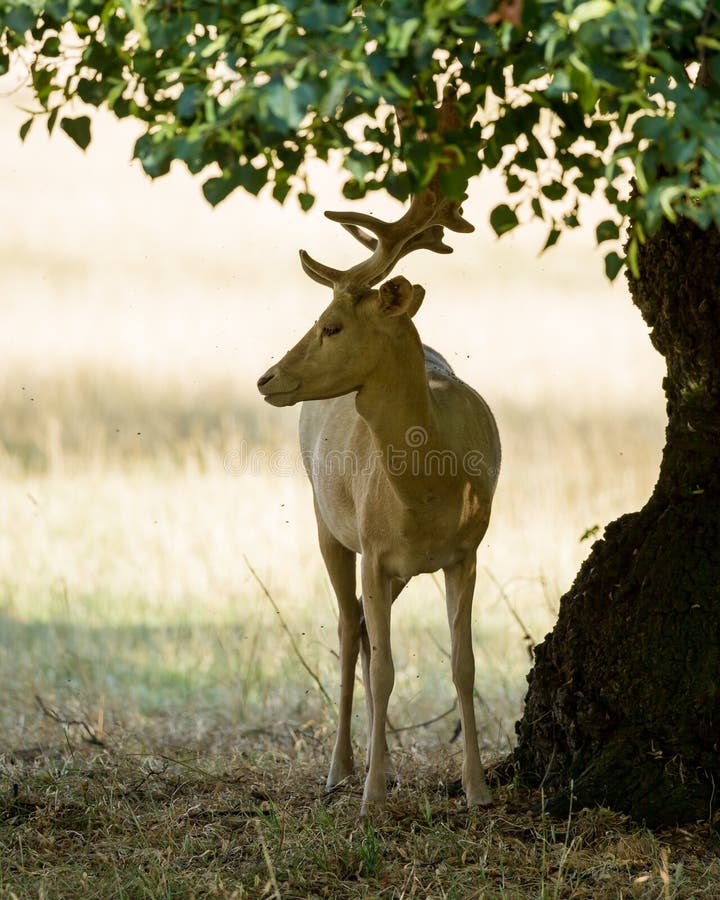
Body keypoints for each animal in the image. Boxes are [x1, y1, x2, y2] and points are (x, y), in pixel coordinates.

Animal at [257, 184, 501, 815]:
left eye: (332, 325)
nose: (266, 378)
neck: (431, 494)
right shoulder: (372, 546)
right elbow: (386, 666)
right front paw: (370, 800)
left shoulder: (468, 552)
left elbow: (464, 664)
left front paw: (477, 790)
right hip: (327, 521)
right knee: (351, 631)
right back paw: (343, 769)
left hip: (391, 565)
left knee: (366, 633)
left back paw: (379, 763)